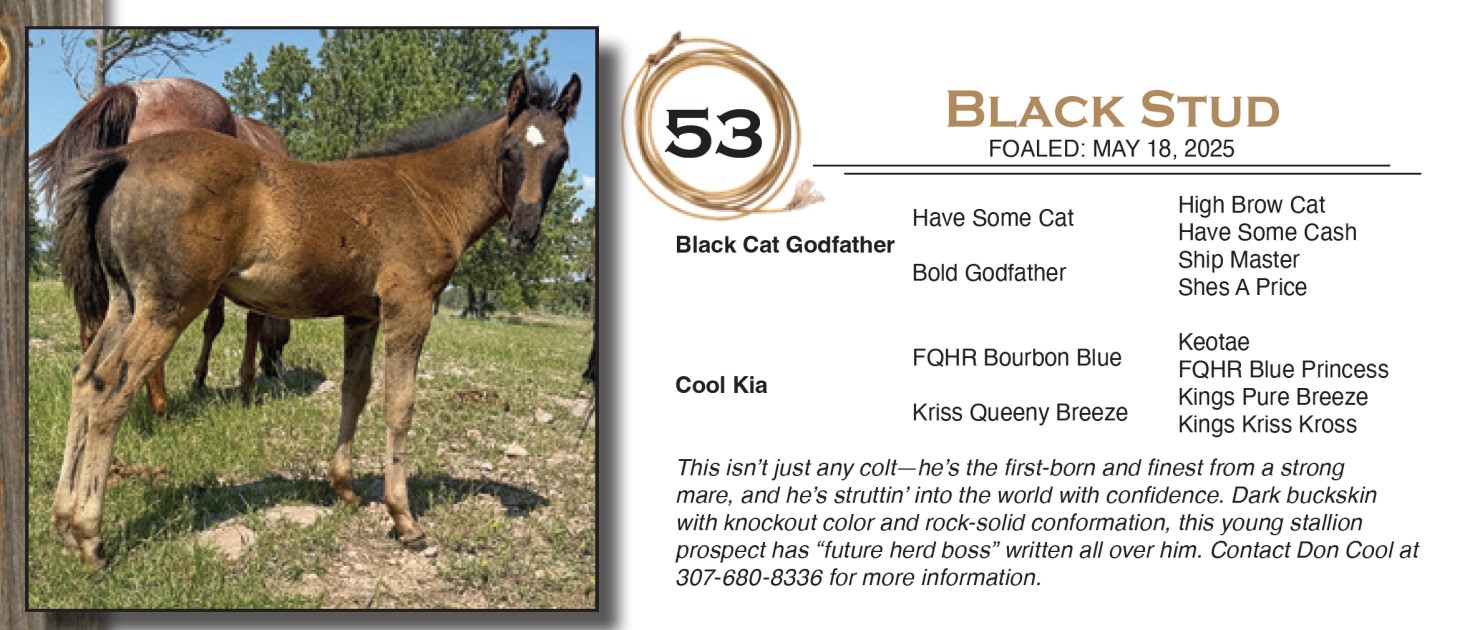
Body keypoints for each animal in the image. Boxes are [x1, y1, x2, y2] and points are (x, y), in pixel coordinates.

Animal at [31, 77, 293, 414]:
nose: (273, 368)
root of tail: (133, 95)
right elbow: (250, 322)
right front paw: (246, 388)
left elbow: (215, 322)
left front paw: (200, 378)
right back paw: (160, 408)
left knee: (91, 332)